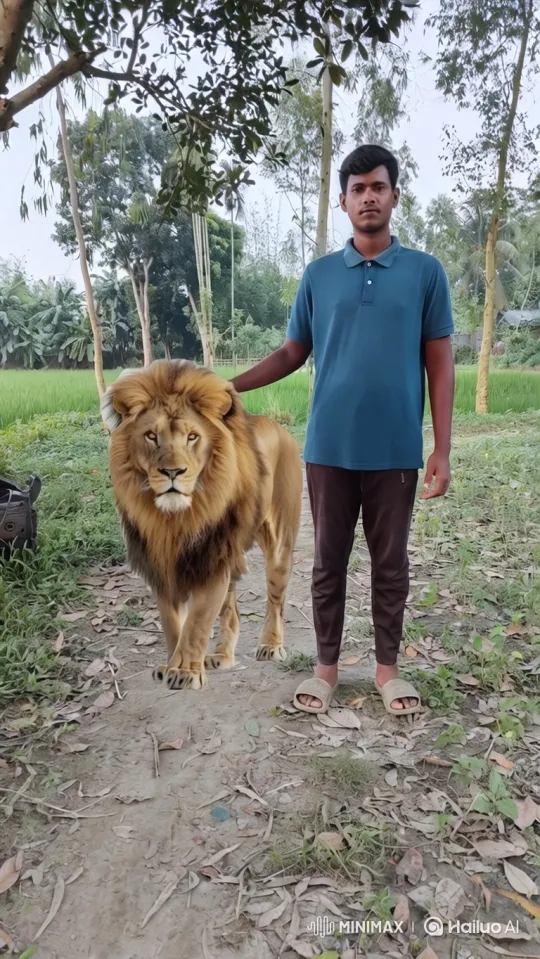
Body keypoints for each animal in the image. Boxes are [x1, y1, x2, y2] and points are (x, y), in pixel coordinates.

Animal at [100, 359, 303, 691]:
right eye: (151, 436)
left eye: (192, 437)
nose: (172, 472)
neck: (173, 520)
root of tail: (277, 426)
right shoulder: (163, 564)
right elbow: (173, 624)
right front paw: (172, 664)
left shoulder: (211, 557)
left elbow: (196, 622)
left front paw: (184, 672)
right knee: (232, 612)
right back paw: (221, 656)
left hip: (279, 544)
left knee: (276, 600)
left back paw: (270, 645)